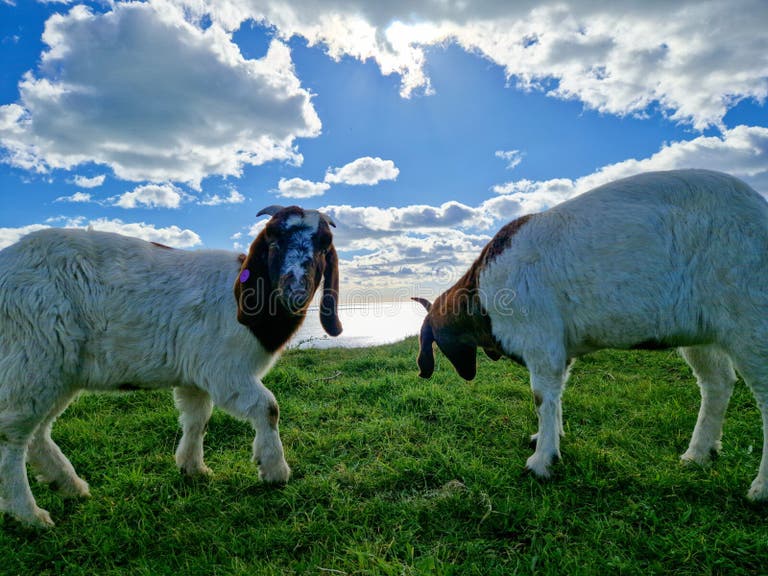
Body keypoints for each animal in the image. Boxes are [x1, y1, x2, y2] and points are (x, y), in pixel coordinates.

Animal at [0, 205, 342, 527]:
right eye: (273, 238)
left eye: (324, 243)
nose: (295, 290)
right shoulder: (225, 370)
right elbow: (268, 407)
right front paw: (274, 470)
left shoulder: (195, 374)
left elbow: (197, 417)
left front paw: (193, 468)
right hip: (32, 359)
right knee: (12, 435)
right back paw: (30, 514)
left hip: (55, 373)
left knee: (38, 432)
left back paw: (69, 485)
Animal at [414, 169, 768, 500]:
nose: (467, 374)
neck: (483, 292)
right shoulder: (561, 348)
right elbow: (557, 391)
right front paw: (550, 438)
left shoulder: (540, 338)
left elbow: (542, 396)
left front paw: (541, 461)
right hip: (704, 331)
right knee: (717, 382)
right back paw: (698, 454)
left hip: (750, 314)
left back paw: (760, 488)